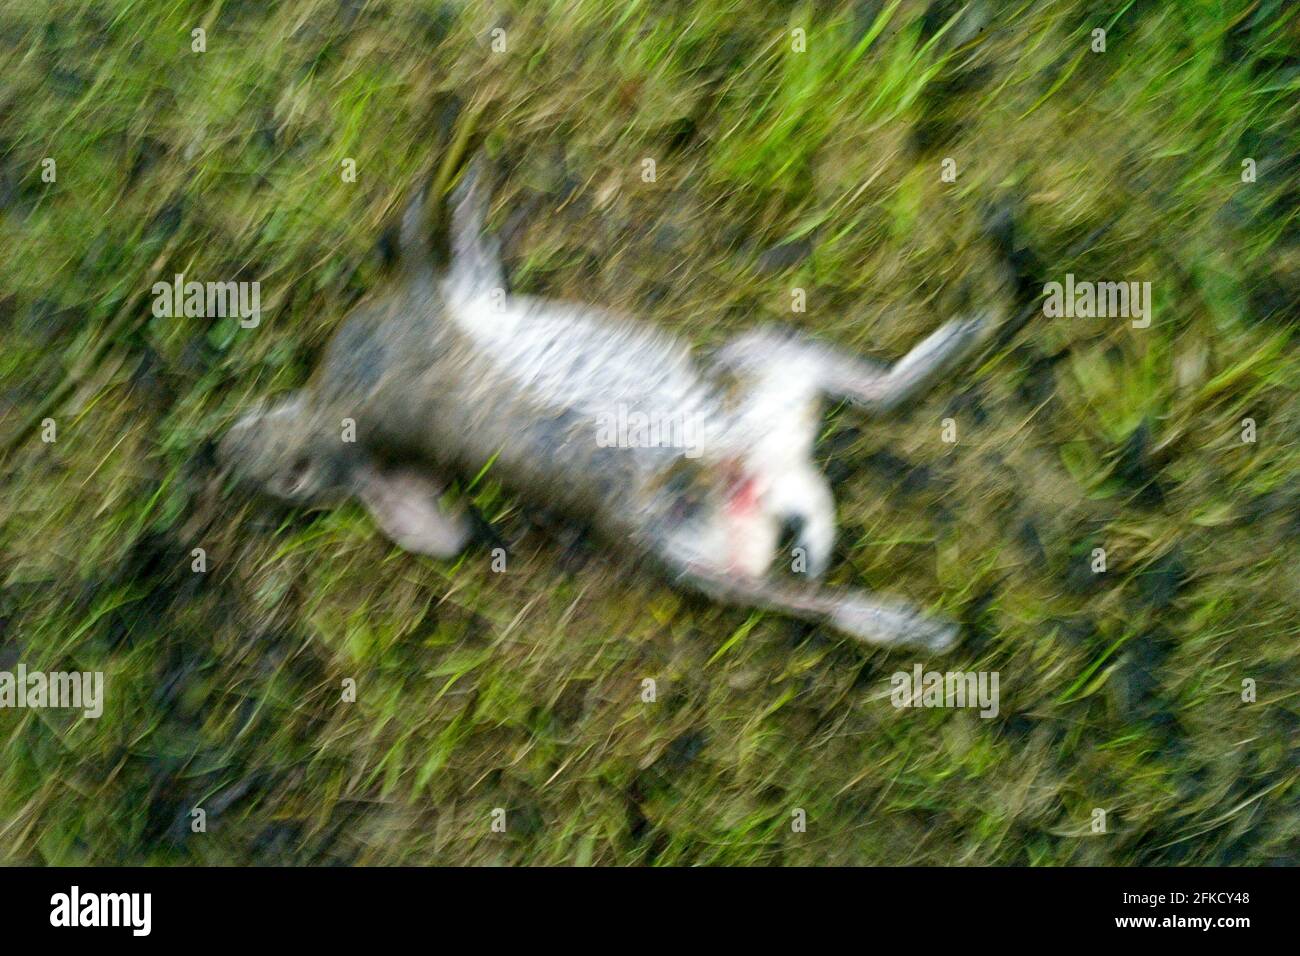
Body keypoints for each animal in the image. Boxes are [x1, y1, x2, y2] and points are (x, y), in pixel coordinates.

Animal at [218, 156, 993, 652]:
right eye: (284, 479)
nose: (215, 448)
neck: (333, 417)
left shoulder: (441, 306)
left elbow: (444, 237)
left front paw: (467, 177)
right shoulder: (432, 302)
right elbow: (438, 237)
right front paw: (465, 182)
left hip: (758, 411)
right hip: (752, 406)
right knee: (849, 468)